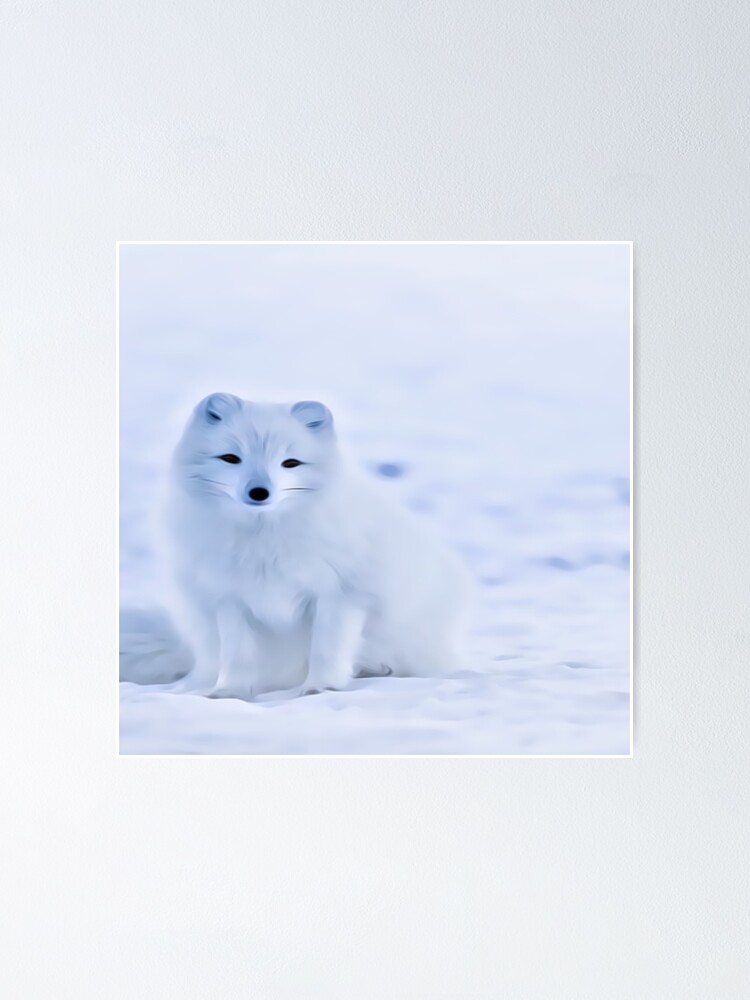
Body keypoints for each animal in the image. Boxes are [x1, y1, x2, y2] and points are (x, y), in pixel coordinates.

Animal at [151, 392, 467, 700]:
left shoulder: (339, 594)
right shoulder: (230, 599)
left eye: (291, 463)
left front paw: (321, 688)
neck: (264, 541)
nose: (259, 492)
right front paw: (229, 693)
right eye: (230, 458)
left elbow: (326, 649)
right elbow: (237, 654)